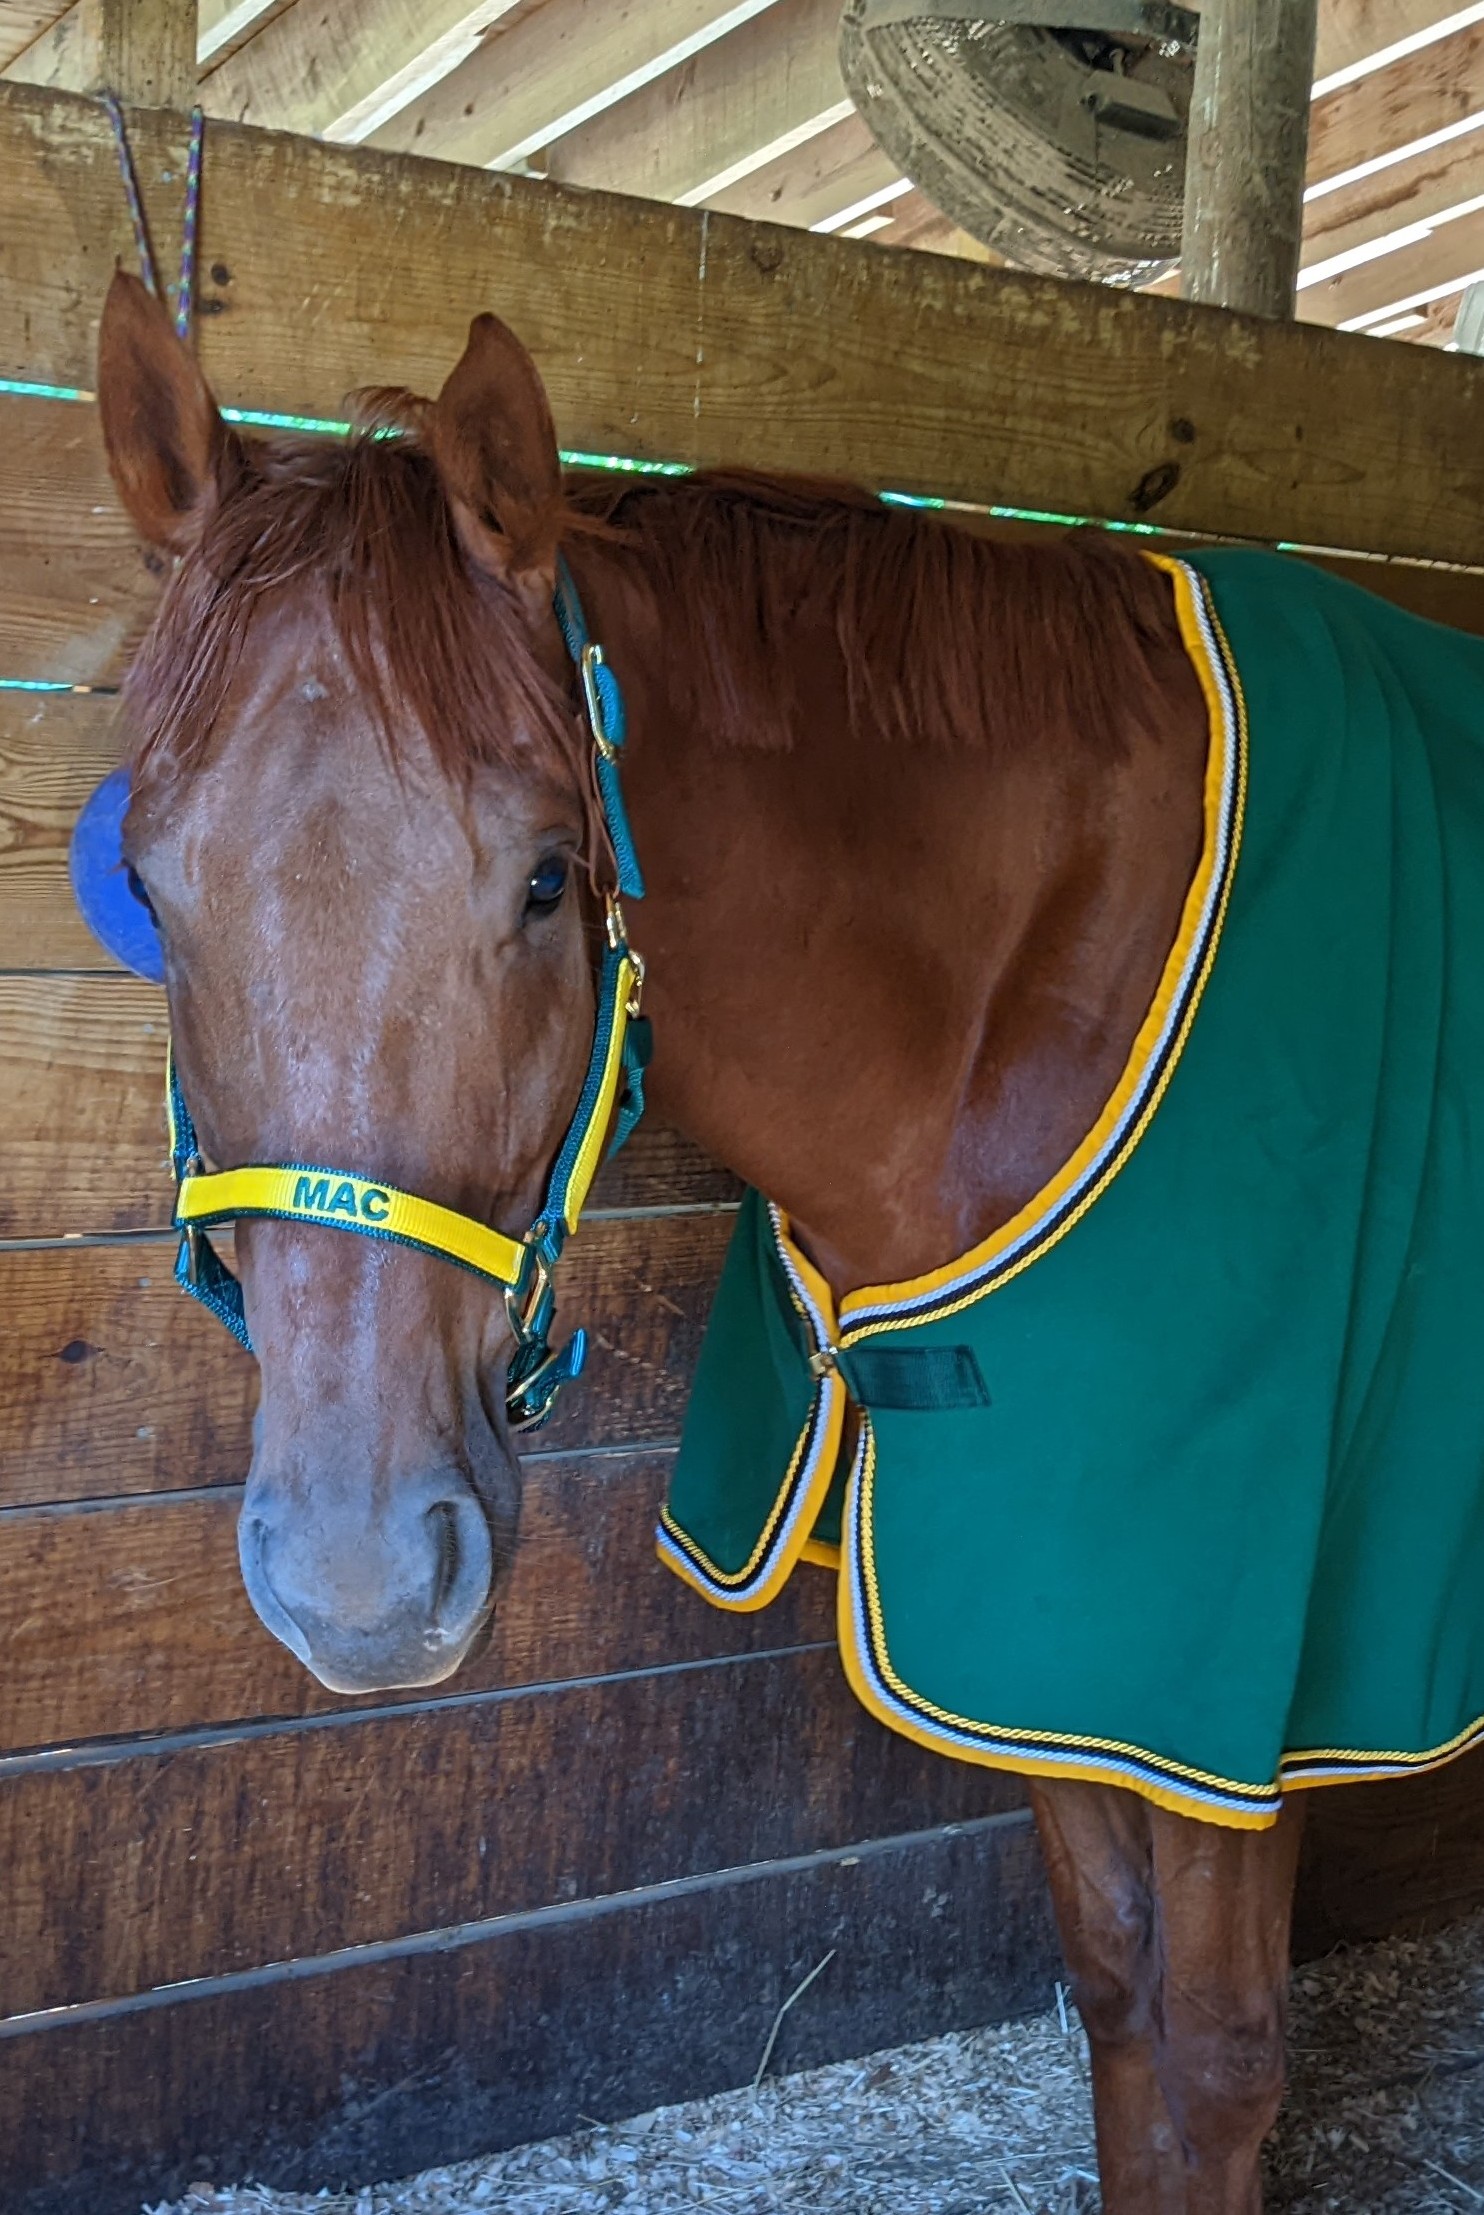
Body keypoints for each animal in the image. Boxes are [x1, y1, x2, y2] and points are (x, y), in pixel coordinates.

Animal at [93, 265, 1484, 2215]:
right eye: (153, 888)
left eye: (549, 878)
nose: (358, 1585)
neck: (1030, 980)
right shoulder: (1024, 1613)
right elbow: (1121, 2005)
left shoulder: (1211, 1668)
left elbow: (1211, 2061)